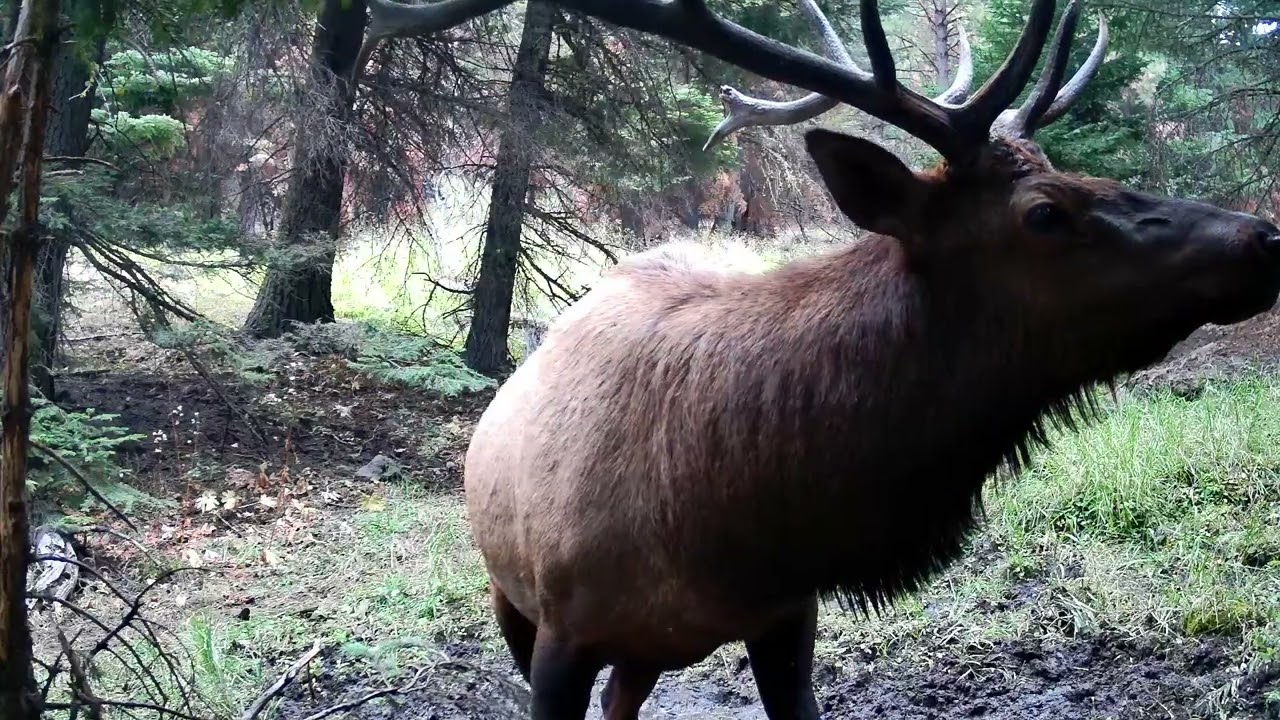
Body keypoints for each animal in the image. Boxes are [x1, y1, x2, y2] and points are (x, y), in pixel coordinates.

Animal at [357, 1, 1280, 718]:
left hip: (644, 651)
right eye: (1045, 212)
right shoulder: (559, 629)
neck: (728, 523)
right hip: (510, 595)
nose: (1259, 235)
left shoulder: (785, 614)